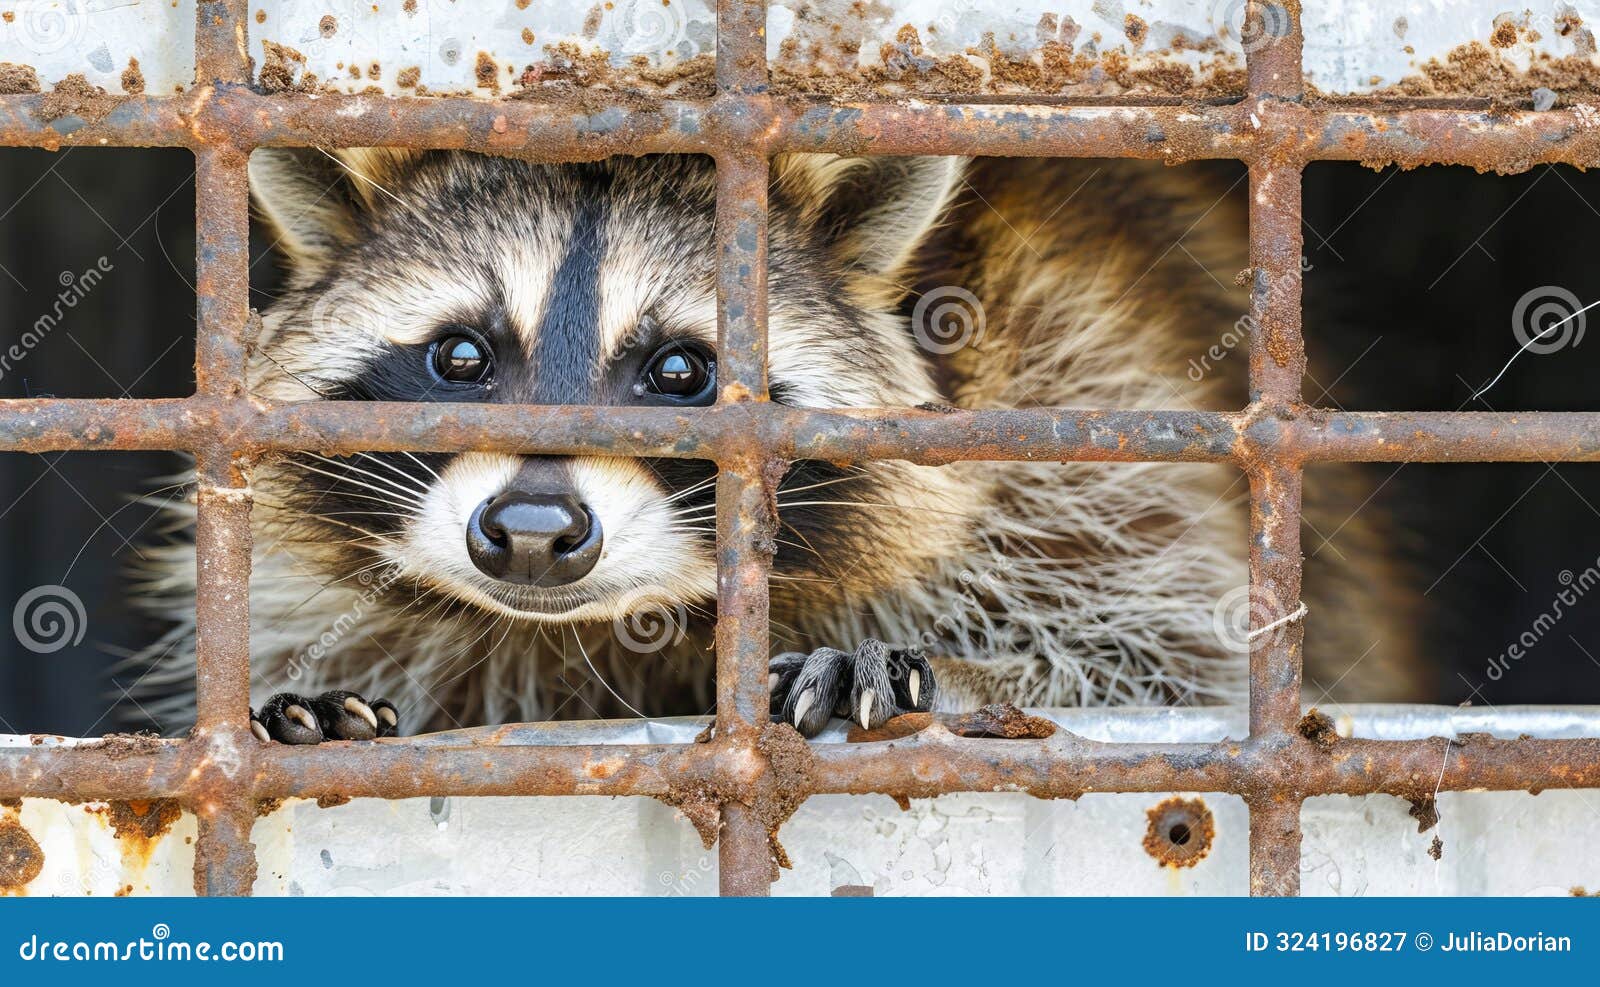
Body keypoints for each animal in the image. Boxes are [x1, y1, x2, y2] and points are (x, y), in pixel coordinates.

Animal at [134, 151, 1423, 742]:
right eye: (459, 357)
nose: (534, 533)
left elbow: (1167, 662)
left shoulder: (1087, 401)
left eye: (680, 374)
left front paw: (964, 670)